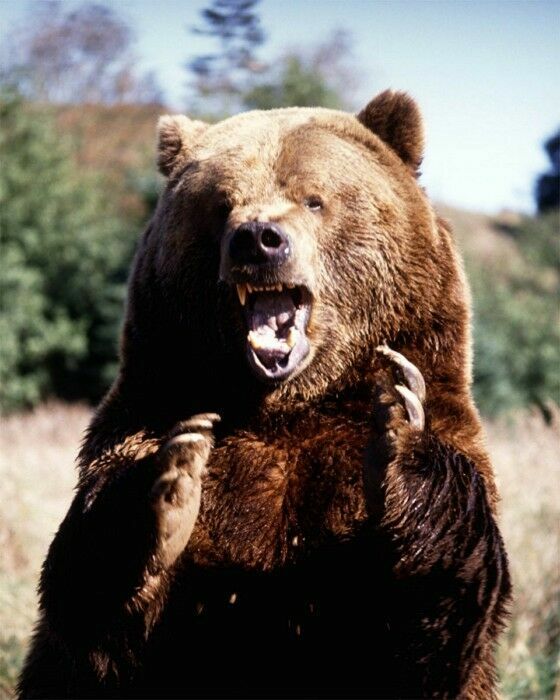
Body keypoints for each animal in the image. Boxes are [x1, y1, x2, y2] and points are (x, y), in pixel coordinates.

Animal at [18, 90, 511, 699]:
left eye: (314, 199)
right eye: (221, 205)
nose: (257, 239)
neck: (285, 409)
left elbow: (428, 629)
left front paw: (398, 423)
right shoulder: (144, 415)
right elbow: (89, 597)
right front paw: (173, 481)